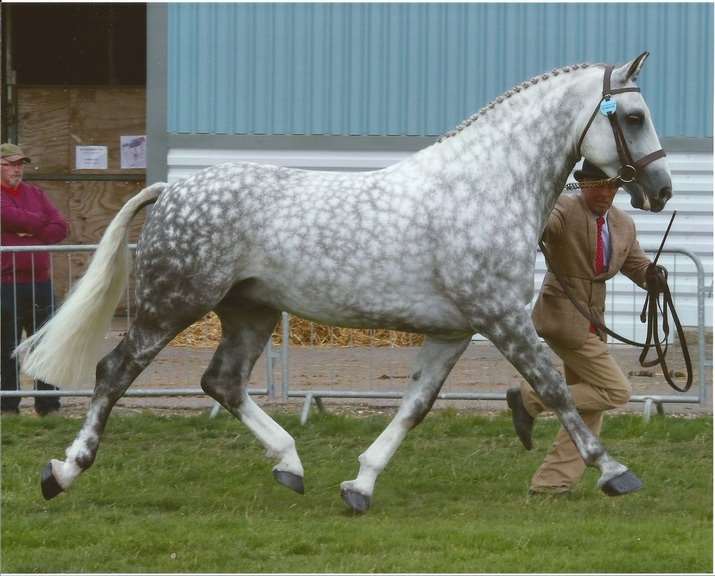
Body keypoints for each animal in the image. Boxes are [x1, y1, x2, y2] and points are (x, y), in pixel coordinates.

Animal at [16, 52, 672, 513]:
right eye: (634, 117)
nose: (662, 190)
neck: (483, 188)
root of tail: (172, 190)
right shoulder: (502, 319)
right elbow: (555, 388)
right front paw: (615, 472)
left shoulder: (454, 332)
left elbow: (415, 406)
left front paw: (359, 484)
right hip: (170, 305)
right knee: (113, 372)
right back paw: (61, 472)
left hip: (249, 312)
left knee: (221, 382)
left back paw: (290, 465)